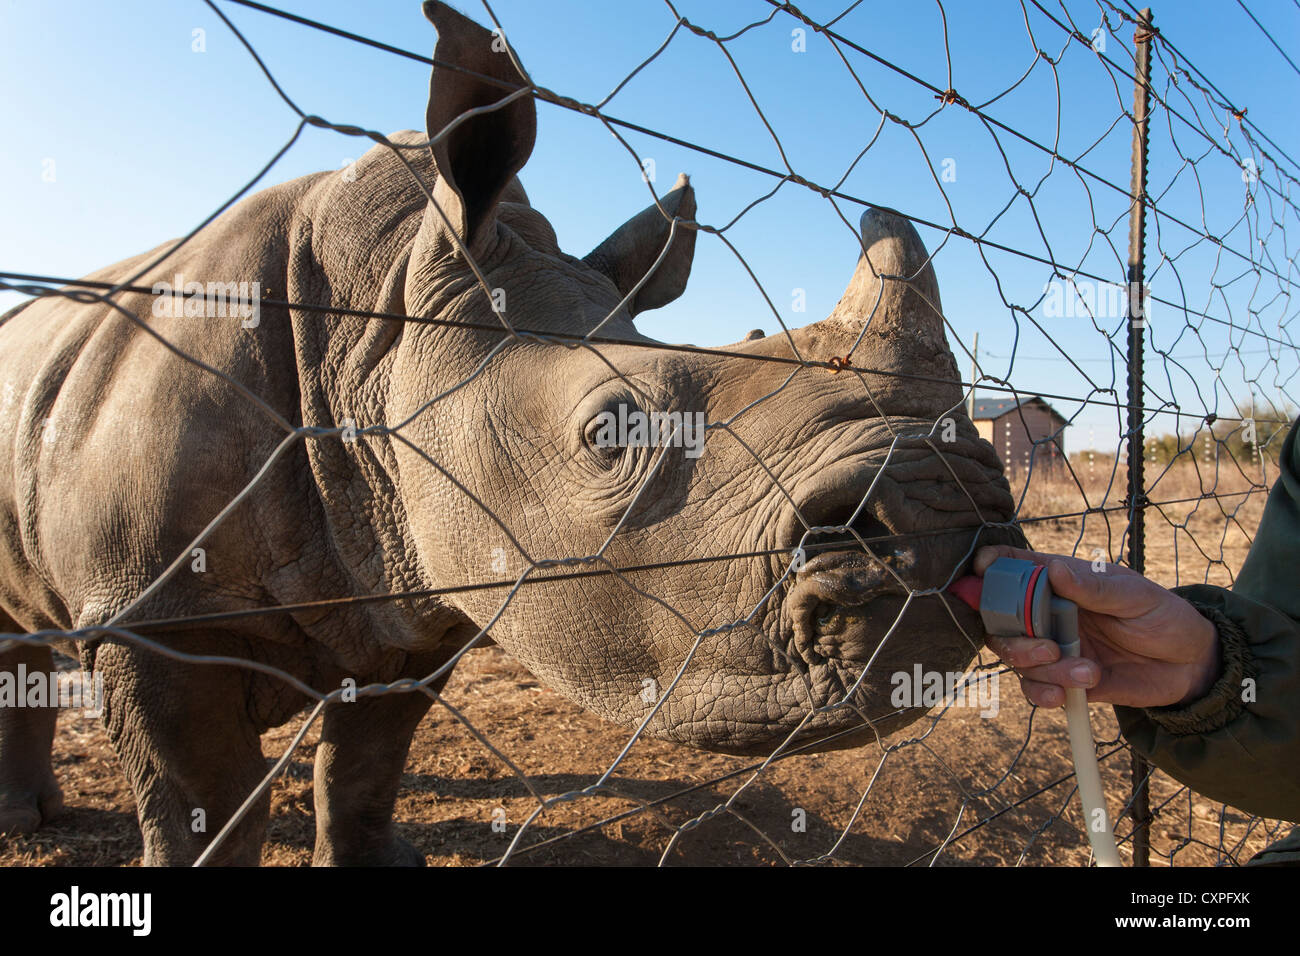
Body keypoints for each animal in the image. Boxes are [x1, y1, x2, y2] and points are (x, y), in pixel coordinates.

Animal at [0, 2, 1021, 865]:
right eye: (609, 434)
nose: (947, 511)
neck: (375, 330)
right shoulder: (147, 615)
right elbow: (203, 807)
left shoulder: (411, 595)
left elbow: (365, 767)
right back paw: (29, 824)